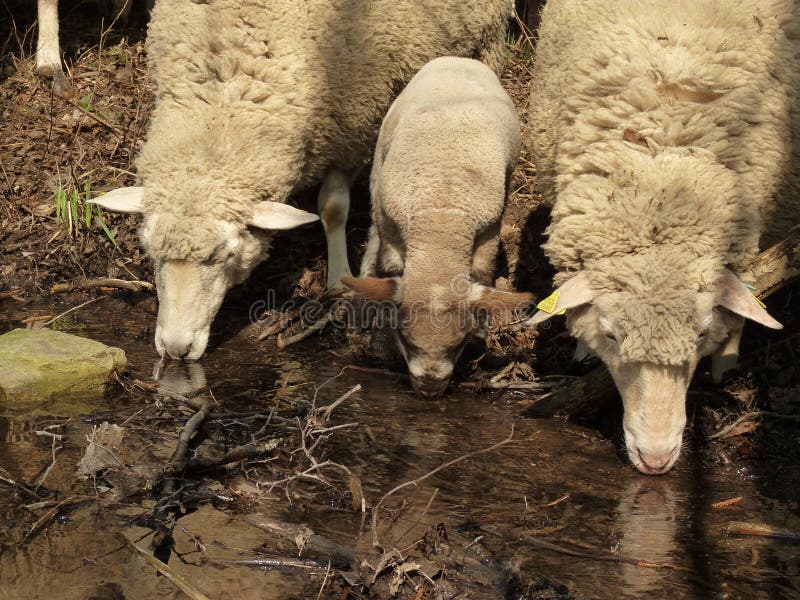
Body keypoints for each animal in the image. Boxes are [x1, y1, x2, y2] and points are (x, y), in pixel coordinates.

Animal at [89, 0, 513, 360]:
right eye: (150, 252)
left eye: (227, 255)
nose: (176, 349)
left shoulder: (351, 123)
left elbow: (333, 207)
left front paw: (338, 277)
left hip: (486, 39)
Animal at [342, 57, 532, 397]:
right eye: (405, 339)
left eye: (458, 344)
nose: (429, 389)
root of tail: (459, 59)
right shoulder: (392, 225)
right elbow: (390, 269)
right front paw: (382, 341)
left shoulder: (488, 228)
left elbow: (482, 274)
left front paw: (481, 334)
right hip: (379, 169)